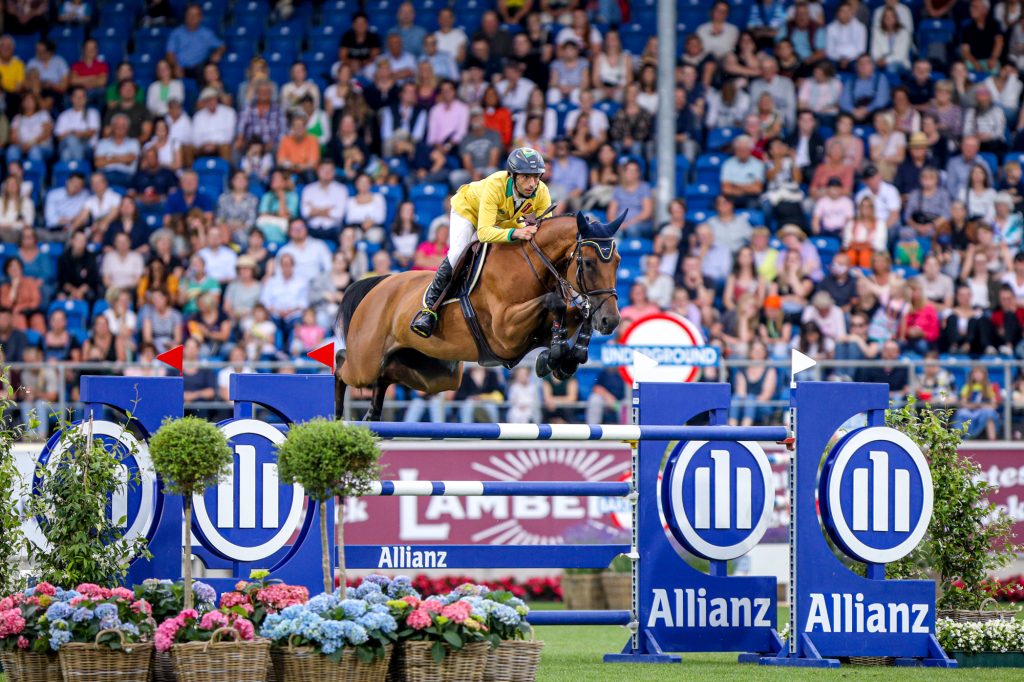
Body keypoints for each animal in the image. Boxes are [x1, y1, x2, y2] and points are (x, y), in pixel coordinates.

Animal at [334, 211, 625, 420]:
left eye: (618, 261)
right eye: (589, 263)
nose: (611, 321)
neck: (531, 266)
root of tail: (378, 285)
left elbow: (577, 313)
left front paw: (563, 357)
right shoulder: (505, 332)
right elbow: (555, 302)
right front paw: (552, 356)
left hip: (435, 375)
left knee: (385, 375)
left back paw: (370, 415)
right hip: (366, 360)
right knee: (342, 367)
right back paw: (337, 418)